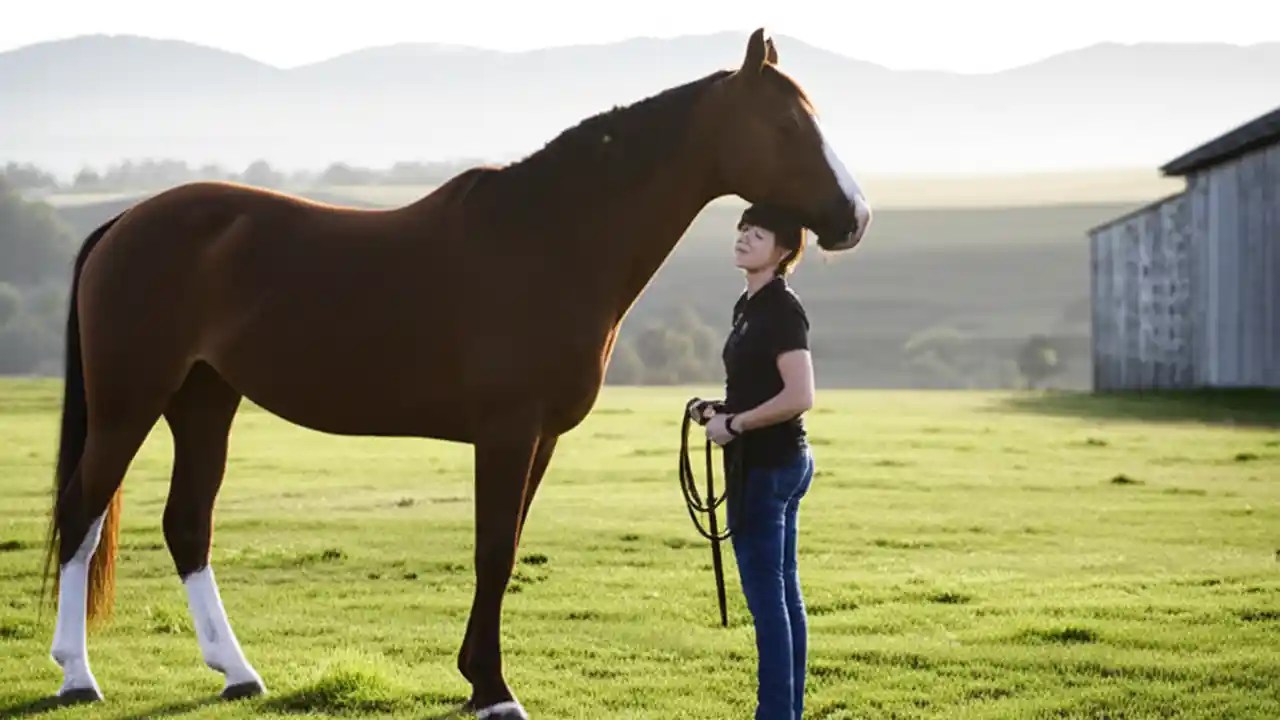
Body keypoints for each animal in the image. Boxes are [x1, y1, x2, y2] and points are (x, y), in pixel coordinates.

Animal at [39, 28, 871, 719]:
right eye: (788, 125)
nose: (855, 217)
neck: (549, 239)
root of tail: (126, 222)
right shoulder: (506, 434)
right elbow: (493, 550)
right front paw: (494, 691)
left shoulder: (540, 440)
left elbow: (505, 548)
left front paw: (477, 679)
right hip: (129, 402)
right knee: (81, 512)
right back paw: (78, 676)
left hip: (205, 400)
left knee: (187, 523)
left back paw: (238, 673)